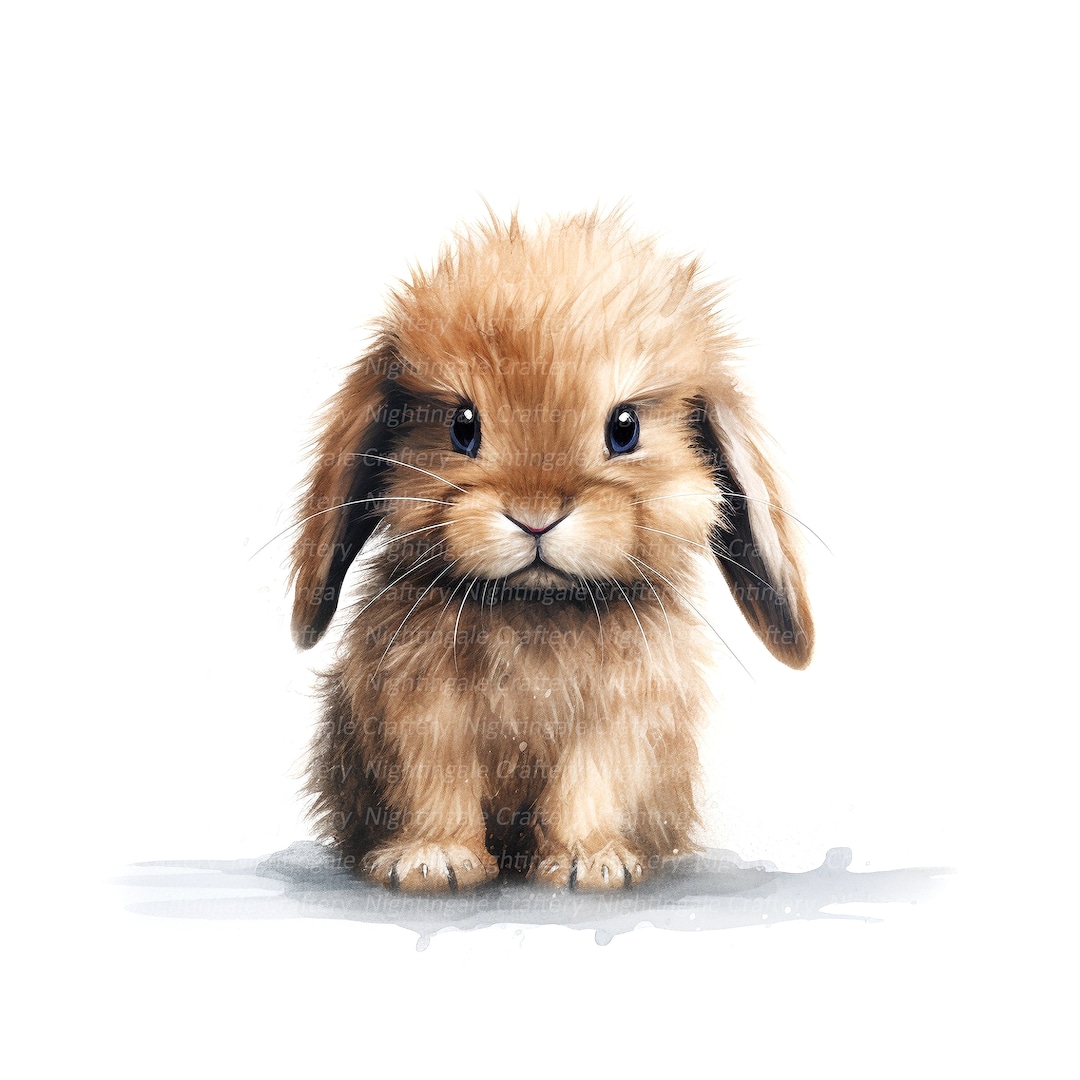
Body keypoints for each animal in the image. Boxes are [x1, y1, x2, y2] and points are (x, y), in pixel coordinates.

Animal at [289, 210, 813, 892]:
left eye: (625, 429)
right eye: (462, 426)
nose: (535, 515)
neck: (536, 608)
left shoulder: (618, 724)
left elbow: (588, 785)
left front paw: (590, 865)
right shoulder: (420, 715)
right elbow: (438, 783)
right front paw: (434, 861)